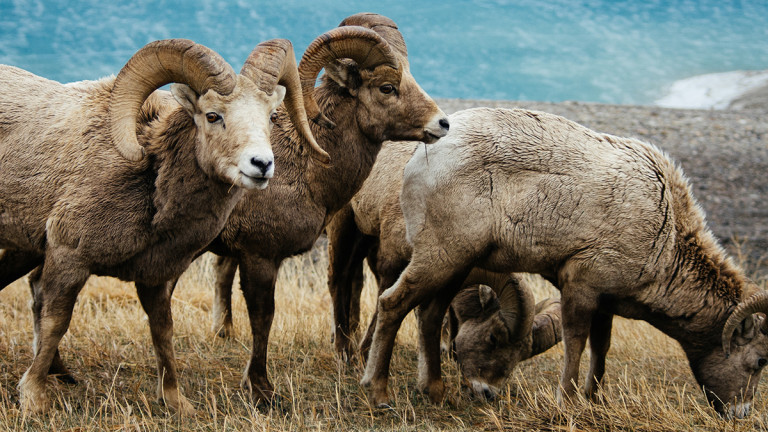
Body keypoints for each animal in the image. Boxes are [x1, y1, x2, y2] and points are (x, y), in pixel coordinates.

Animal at [0, 37, 323, 414]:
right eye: (212, 116)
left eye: (271, 116)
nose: (261, 164)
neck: (150, 179)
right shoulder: (69, 258)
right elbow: (55, 323)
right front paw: (34, 399)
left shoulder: (156, 275)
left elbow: (163, 331)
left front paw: (174, 401)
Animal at [202, 13, 450, 404]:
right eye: (386, 87)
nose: (442, 124)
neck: (303, 165)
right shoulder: (260, 257)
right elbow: (263, 318)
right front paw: (261, 390)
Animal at [325, 140, 562, 398]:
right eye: (493, 337)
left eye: (523, 354)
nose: (488, 392)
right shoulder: (393, 259)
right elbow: (385, 302)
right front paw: (365, 355)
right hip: (345, 224)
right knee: (339, 279)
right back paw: (343, 352)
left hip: (365, 238)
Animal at [360, 107, 768, 418]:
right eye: (760, 361)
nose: (741, 413)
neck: (665, 236)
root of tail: (420, 158)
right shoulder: (581, 286)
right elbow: (577, 342)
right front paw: (568, 401)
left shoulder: (606, 301)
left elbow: (601, 348)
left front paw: (593, 399)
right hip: (439, 259)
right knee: (393, 304)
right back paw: (378, 393)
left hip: (454, 267)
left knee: (429, 316)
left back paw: (434, 391)